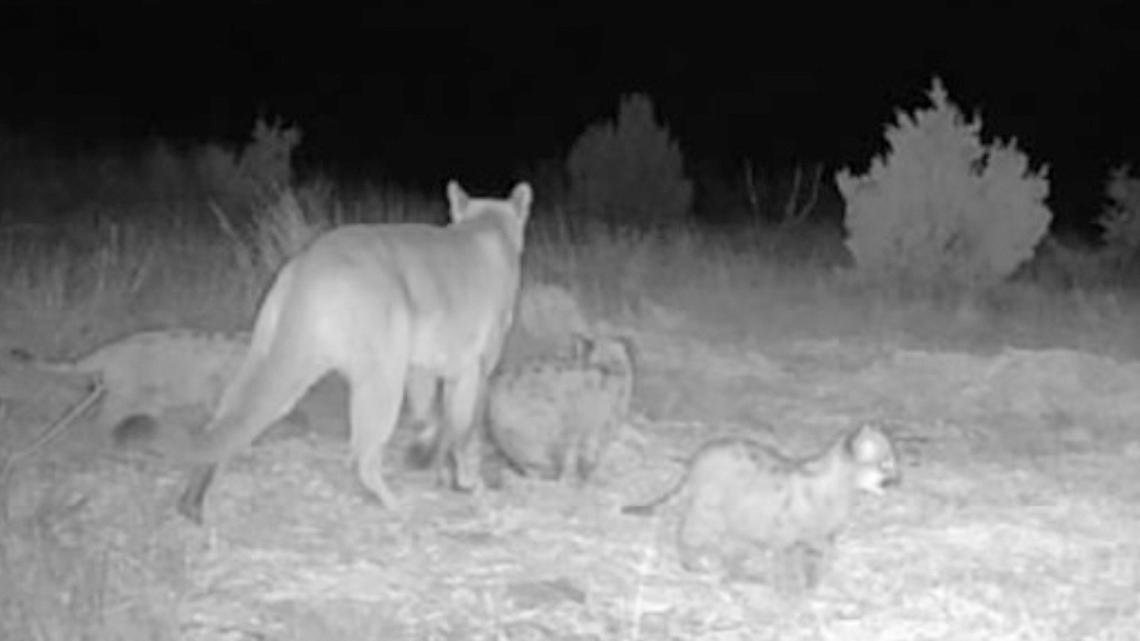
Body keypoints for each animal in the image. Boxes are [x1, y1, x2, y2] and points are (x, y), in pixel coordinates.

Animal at [114, 180, 533, 523]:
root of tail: (308, 265)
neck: (487, 227)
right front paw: (467, 483)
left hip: (274, 364)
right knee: (361, 455)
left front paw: (430, 462)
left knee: (224, 425)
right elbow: (464, 429)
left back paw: (193, 504)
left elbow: (432, 420)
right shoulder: (473, 369)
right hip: (381, 376)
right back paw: (395, 505)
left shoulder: (425, 368)